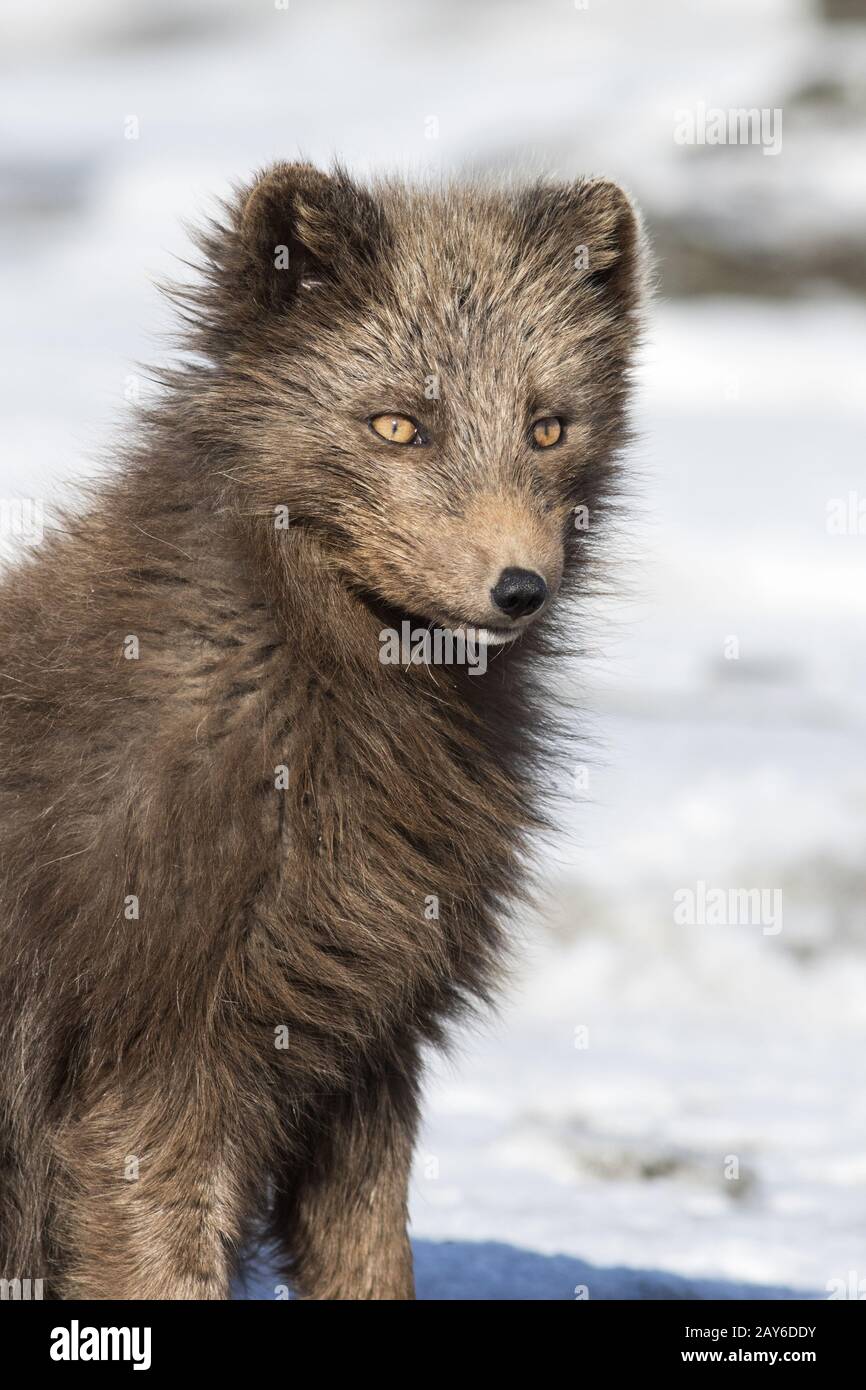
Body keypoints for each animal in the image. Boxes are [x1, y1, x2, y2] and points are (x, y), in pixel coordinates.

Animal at [0, 162, 643, 1299]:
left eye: (547, 427)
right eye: (396, 426)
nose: (517, 588)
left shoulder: (363, 1053)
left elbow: (372, 1260)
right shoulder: (151, 1071)